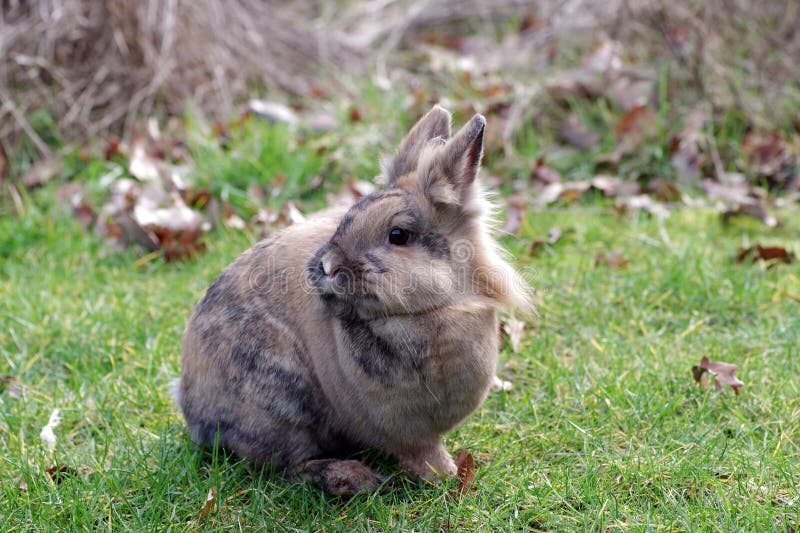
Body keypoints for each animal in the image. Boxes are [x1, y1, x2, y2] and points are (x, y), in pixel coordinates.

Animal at [175, 105, 532, 495]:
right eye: (346, 220)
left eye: (398, 235)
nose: (328, 266)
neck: (431, 311)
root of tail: (193, 411)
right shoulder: (407, 432)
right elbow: (422, 453)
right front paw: (445, 476)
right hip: (282, 403)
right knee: (288, 466)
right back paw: (352, 478)